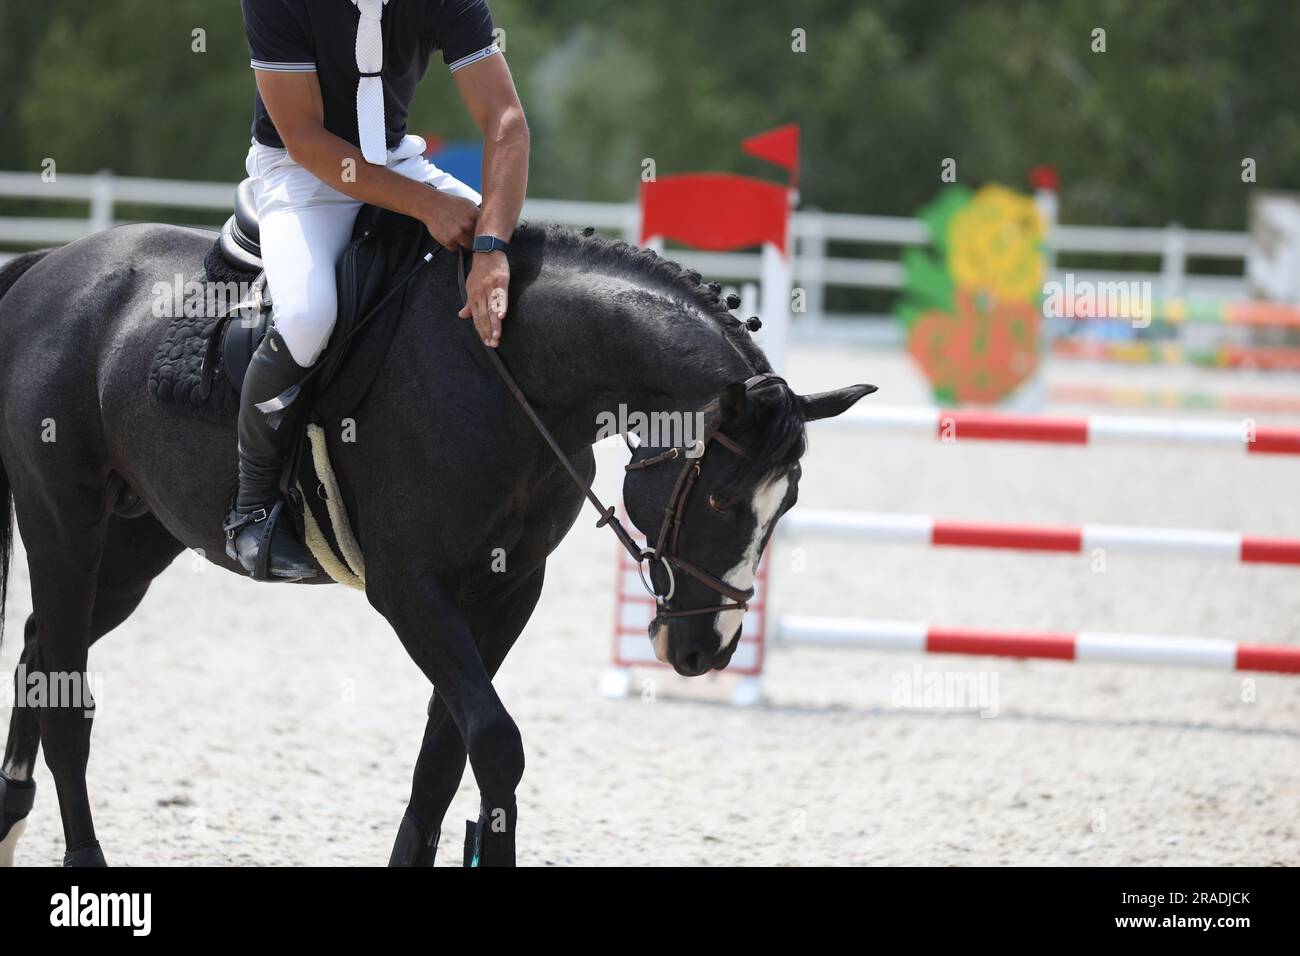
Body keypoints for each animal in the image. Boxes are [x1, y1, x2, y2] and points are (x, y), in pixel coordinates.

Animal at [0, 219, 872, 866]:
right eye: (722, 499)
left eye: (788, 504)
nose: (704, 651)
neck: (509, 376)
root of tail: (52, 266)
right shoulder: (411, 590)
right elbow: (494, 745)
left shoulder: (508, 590)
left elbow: (443, 756)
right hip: (65, 527)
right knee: (65, 692)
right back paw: (83, 860)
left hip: (134, 548)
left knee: (40, 652)